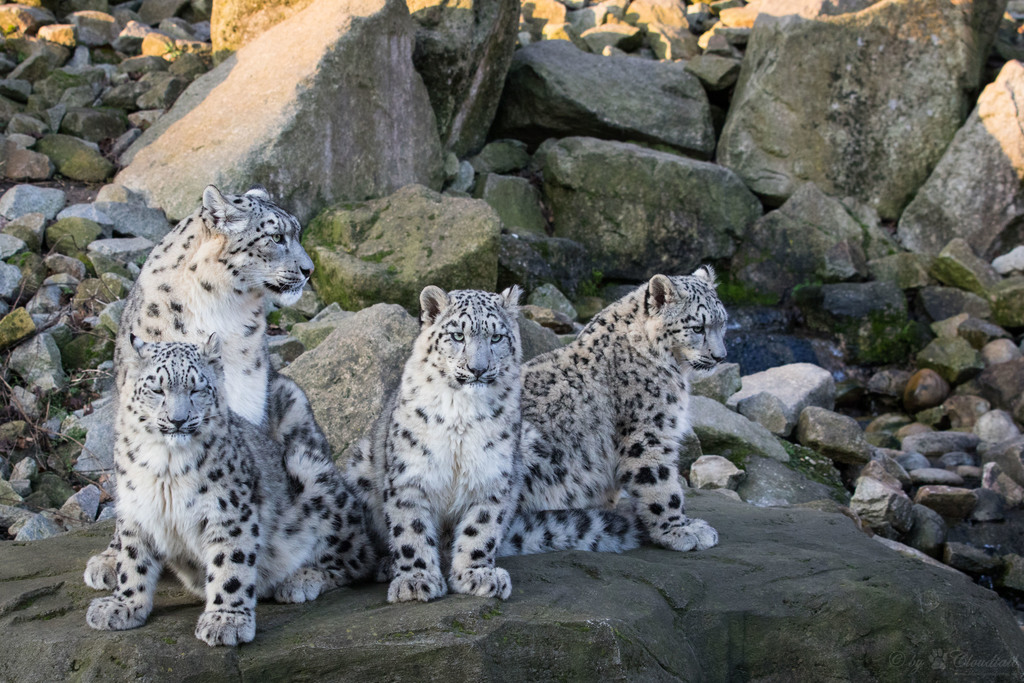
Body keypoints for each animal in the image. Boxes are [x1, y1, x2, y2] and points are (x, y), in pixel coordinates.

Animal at [86, 336, 374, 646]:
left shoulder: (227, 510)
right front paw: (122, 605)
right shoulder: (137, 509)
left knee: (358, 559)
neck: (166, 466)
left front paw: (225, 620)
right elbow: (131, 561)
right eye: (157, 389)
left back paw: (299, 579)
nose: (178, 420)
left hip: (309, 469)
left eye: (196, 388)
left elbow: (230, 564)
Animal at [509, 266, 726, 555]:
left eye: (722, 323)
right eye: (697, 327)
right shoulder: (649, 432)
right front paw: (679, 531)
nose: (720, 357)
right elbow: (660, 482)